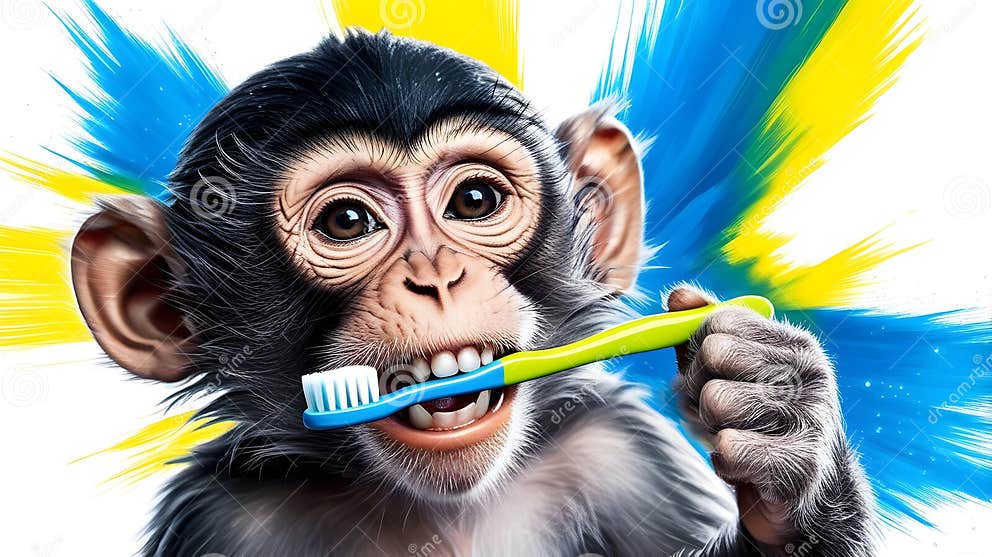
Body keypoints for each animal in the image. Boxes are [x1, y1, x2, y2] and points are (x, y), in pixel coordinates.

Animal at [69, 31, 875, 556]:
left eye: (475, 201)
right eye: (346, 221)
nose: (434, 272)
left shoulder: (622, 457)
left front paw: (781, 427)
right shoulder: (223, 520)